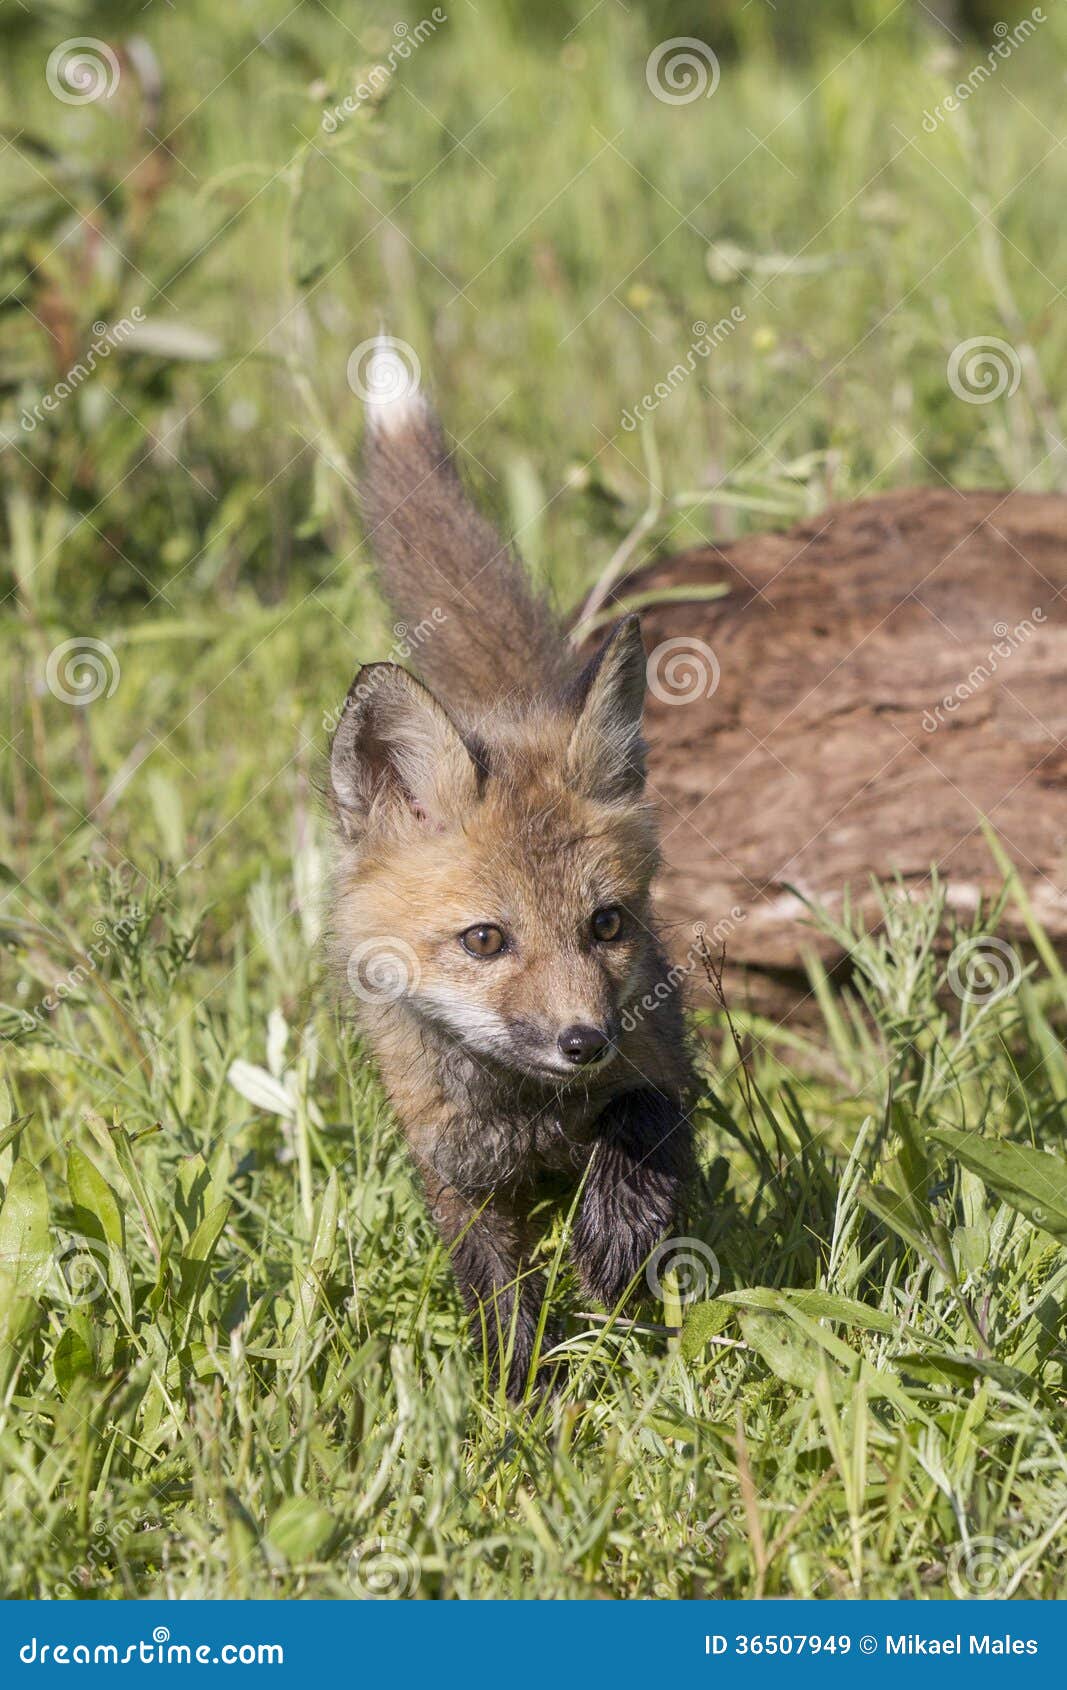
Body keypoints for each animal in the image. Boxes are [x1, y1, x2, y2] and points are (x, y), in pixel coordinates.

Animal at [327, 347, 697, 1397]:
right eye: (485, 939)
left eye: (606, 924)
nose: (583, 1041)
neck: (529, 1115)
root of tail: (505, 709)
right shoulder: (457, 1176)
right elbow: (497, 1303)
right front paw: (519, 1406)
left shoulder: (662, 1064)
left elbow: (644, 1122)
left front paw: (615, 1239)